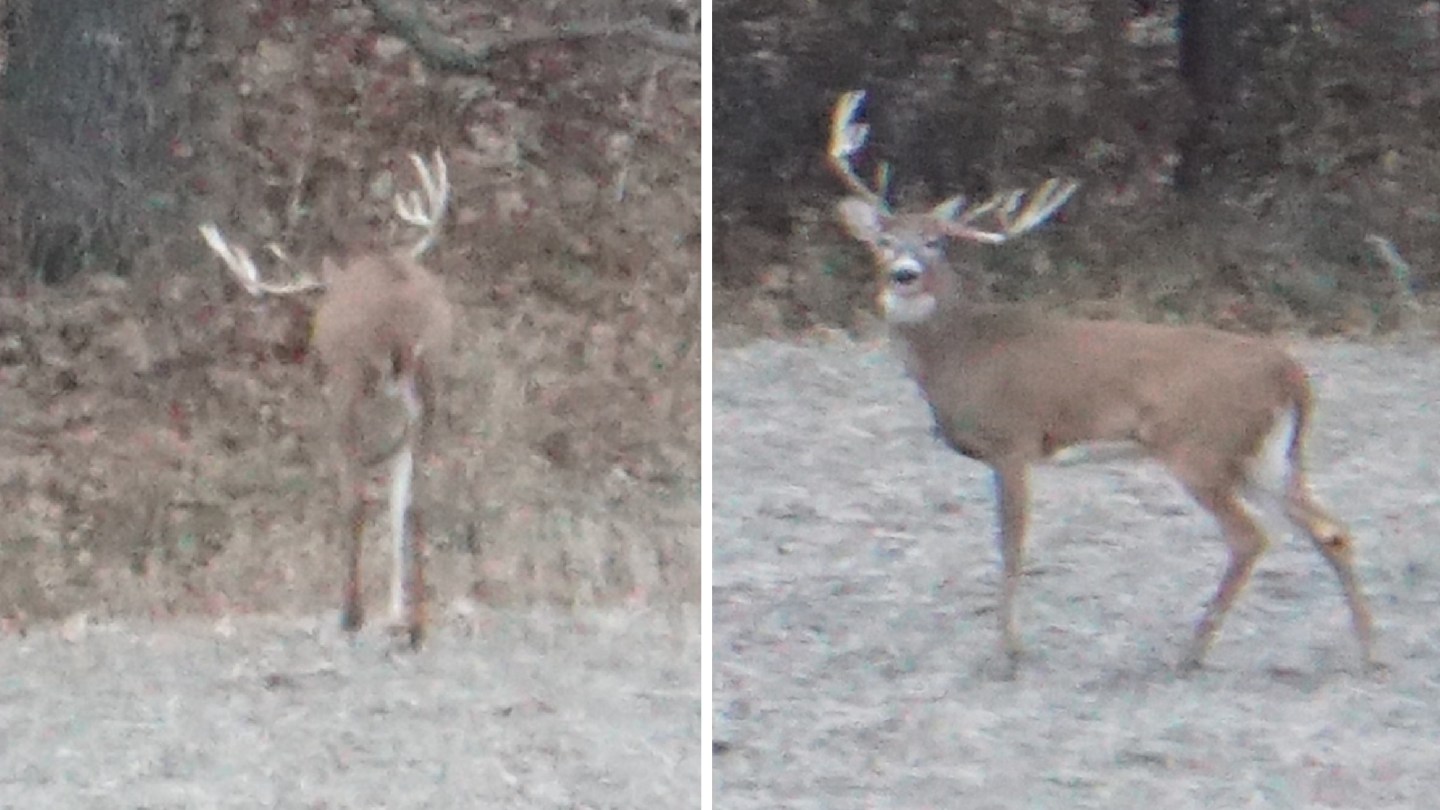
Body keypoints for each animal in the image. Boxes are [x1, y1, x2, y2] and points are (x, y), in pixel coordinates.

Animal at [198, 151, 454, 649]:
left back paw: (351, 613)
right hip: (430, 382)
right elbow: (398, 496)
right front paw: (394, 611)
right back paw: (416, 625)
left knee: (356, 496)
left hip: (349, 384)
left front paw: (363, 612)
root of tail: (401, 321)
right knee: (417, 501)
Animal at [826, 90, 1376, 677]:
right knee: (1331, 529)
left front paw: (1008, 651)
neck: (960, 352)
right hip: (1264, 456)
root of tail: (1292, 375)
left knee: (1251, 536)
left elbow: (1011, 545)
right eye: (885, 240)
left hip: (1201, 447)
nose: (903, 274)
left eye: (936, 242)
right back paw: (1367, 650)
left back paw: (1190, 652)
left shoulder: (1013, 440)